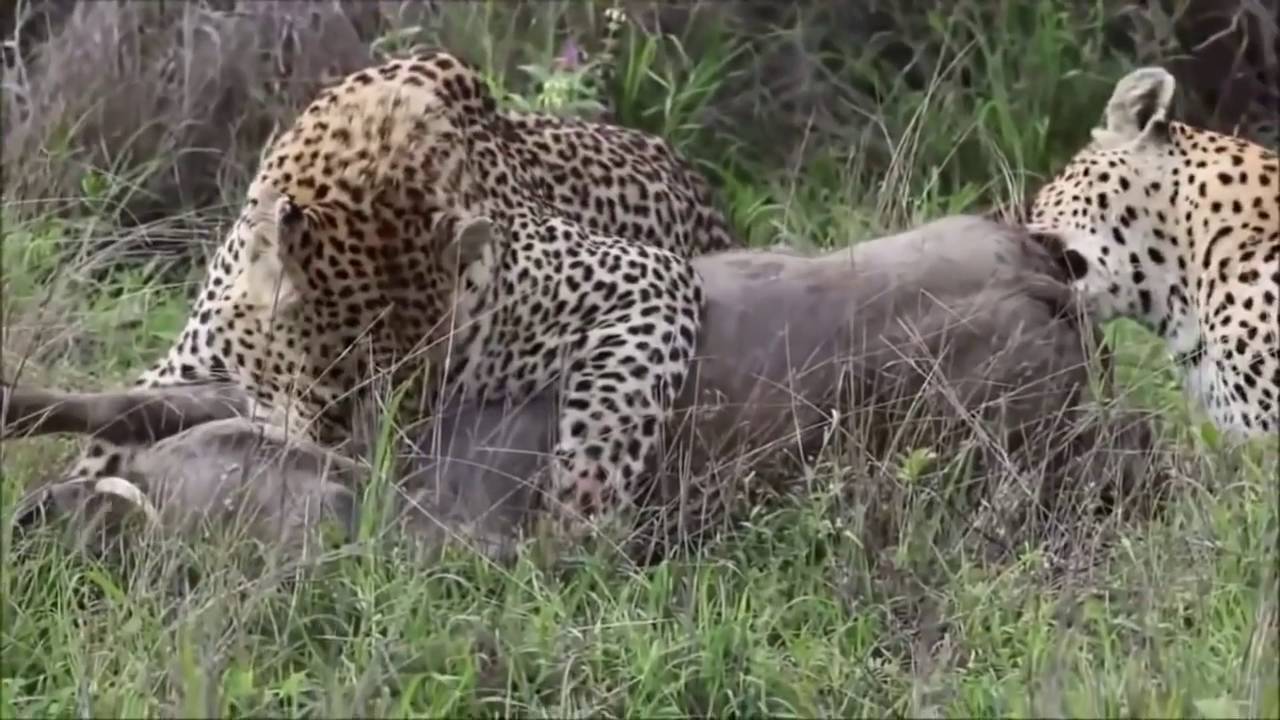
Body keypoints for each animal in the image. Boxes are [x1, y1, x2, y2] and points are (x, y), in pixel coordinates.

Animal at [54, 39, 742, 538]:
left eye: (413, 399)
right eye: (334, 400)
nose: (361, 474)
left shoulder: (642, 274)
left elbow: (617, 413)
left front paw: (576, 519)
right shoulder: (186, 369)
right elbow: (102, 443)